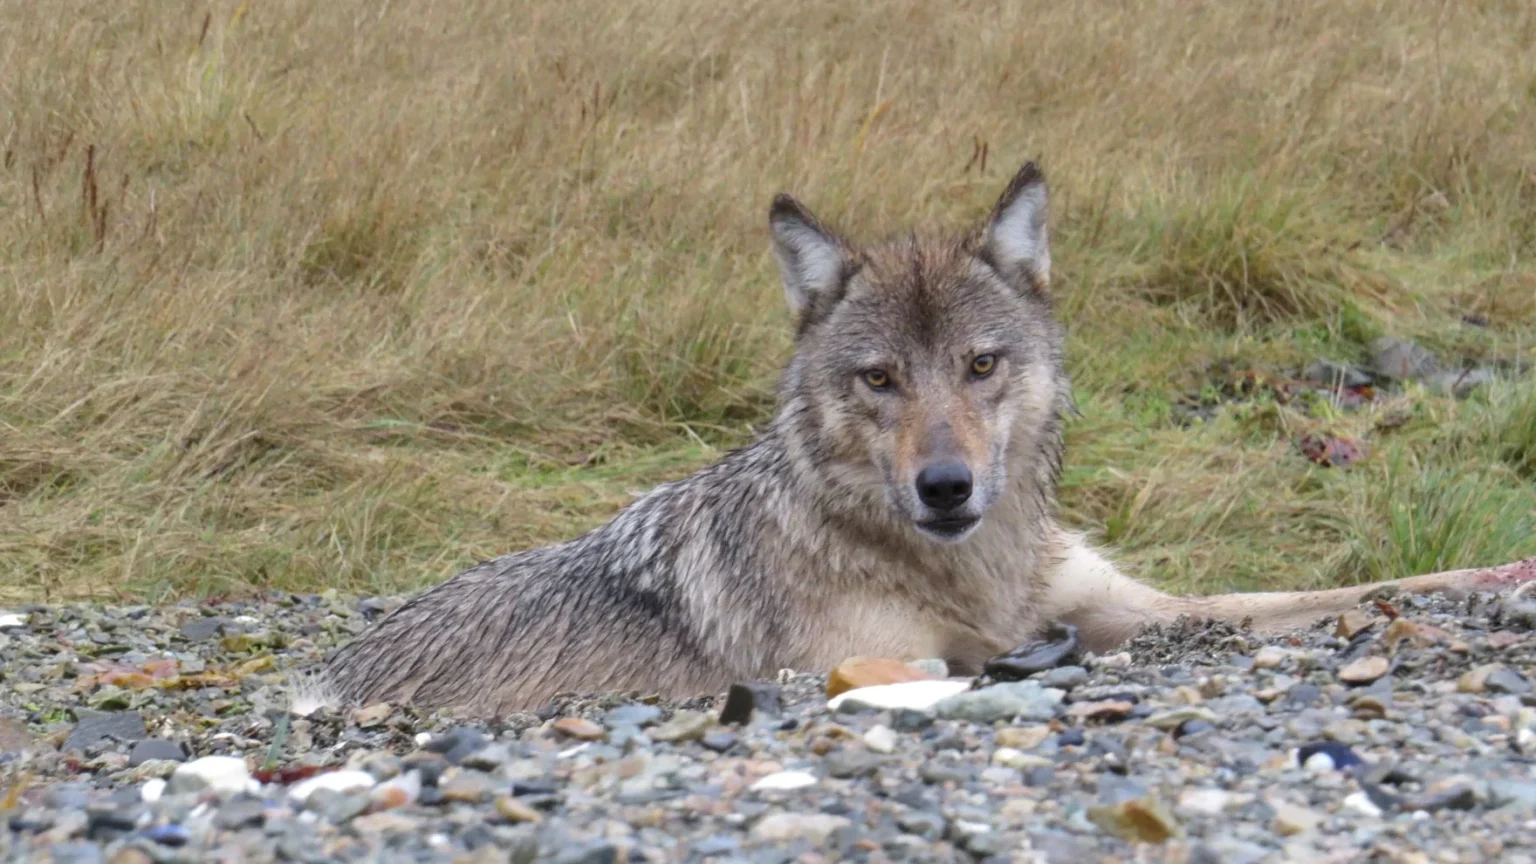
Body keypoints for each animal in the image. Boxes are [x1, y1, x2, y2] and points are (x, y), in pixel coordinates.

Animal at [320, 162, 1536, 717]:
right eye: (881, 380)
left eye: (981, 367)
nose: (946, 486)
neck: (971, 574)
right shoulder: (865, 660)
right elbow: (975, 659)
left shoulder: (1131, 603)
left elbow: (1335, 592)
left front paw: (1498, 577)